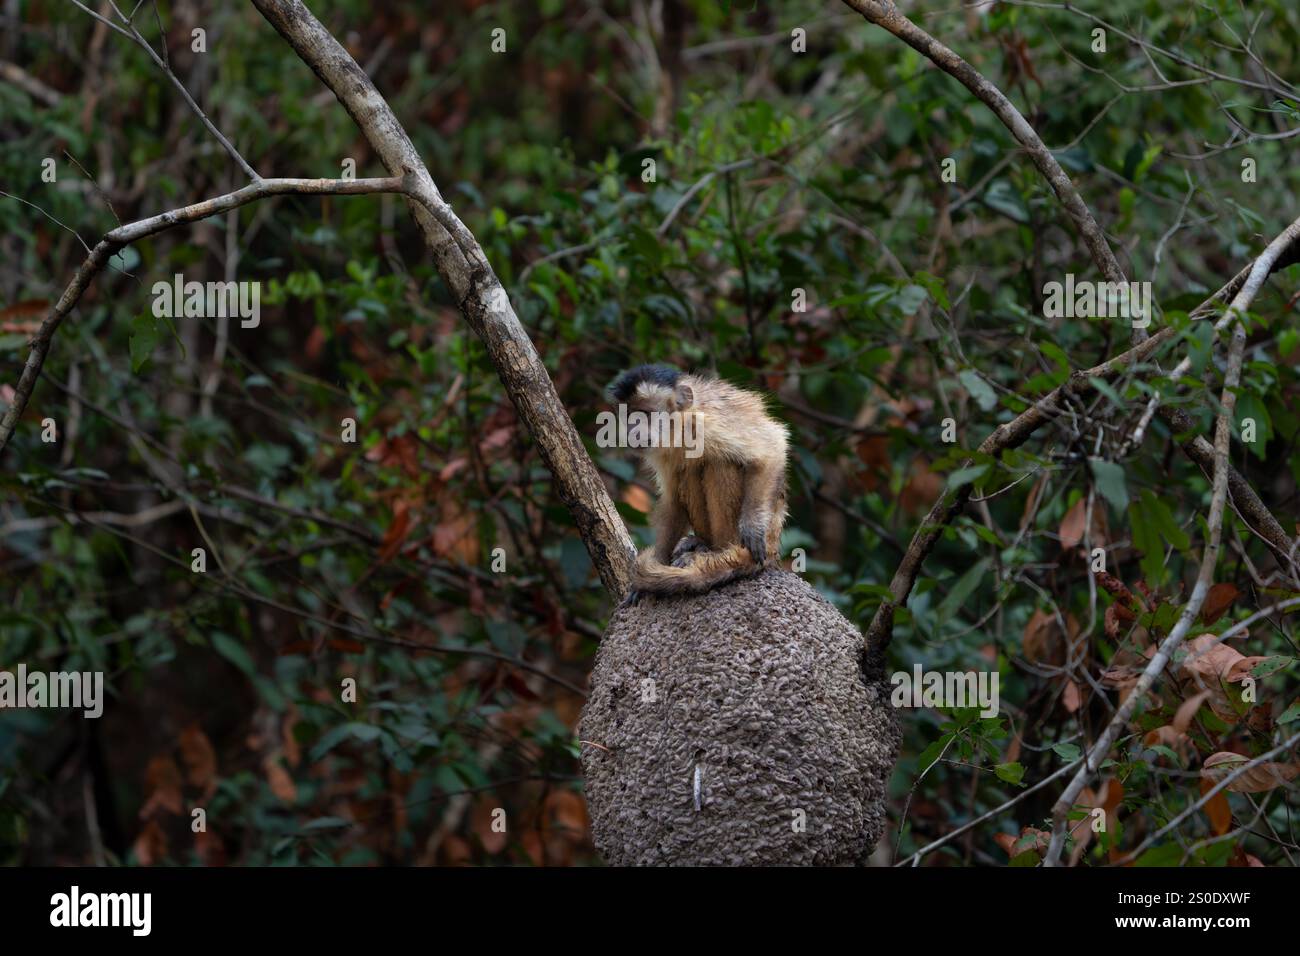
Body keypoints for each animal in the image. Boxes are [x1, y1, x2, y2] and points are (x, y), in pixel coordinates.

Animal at [608, 364, 788, 600]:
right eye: (629, 416)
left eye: (644, 414)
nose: (632, 431)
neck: (680, 427)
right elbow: (673, 501)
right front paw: (653, 569)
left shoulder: (710, 422)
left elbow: (772, 448)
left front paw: (752, 527)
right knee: (689, 471)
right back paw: (701, 544)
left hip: (766, 542)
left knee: (720, 462)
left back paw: (720, 551)